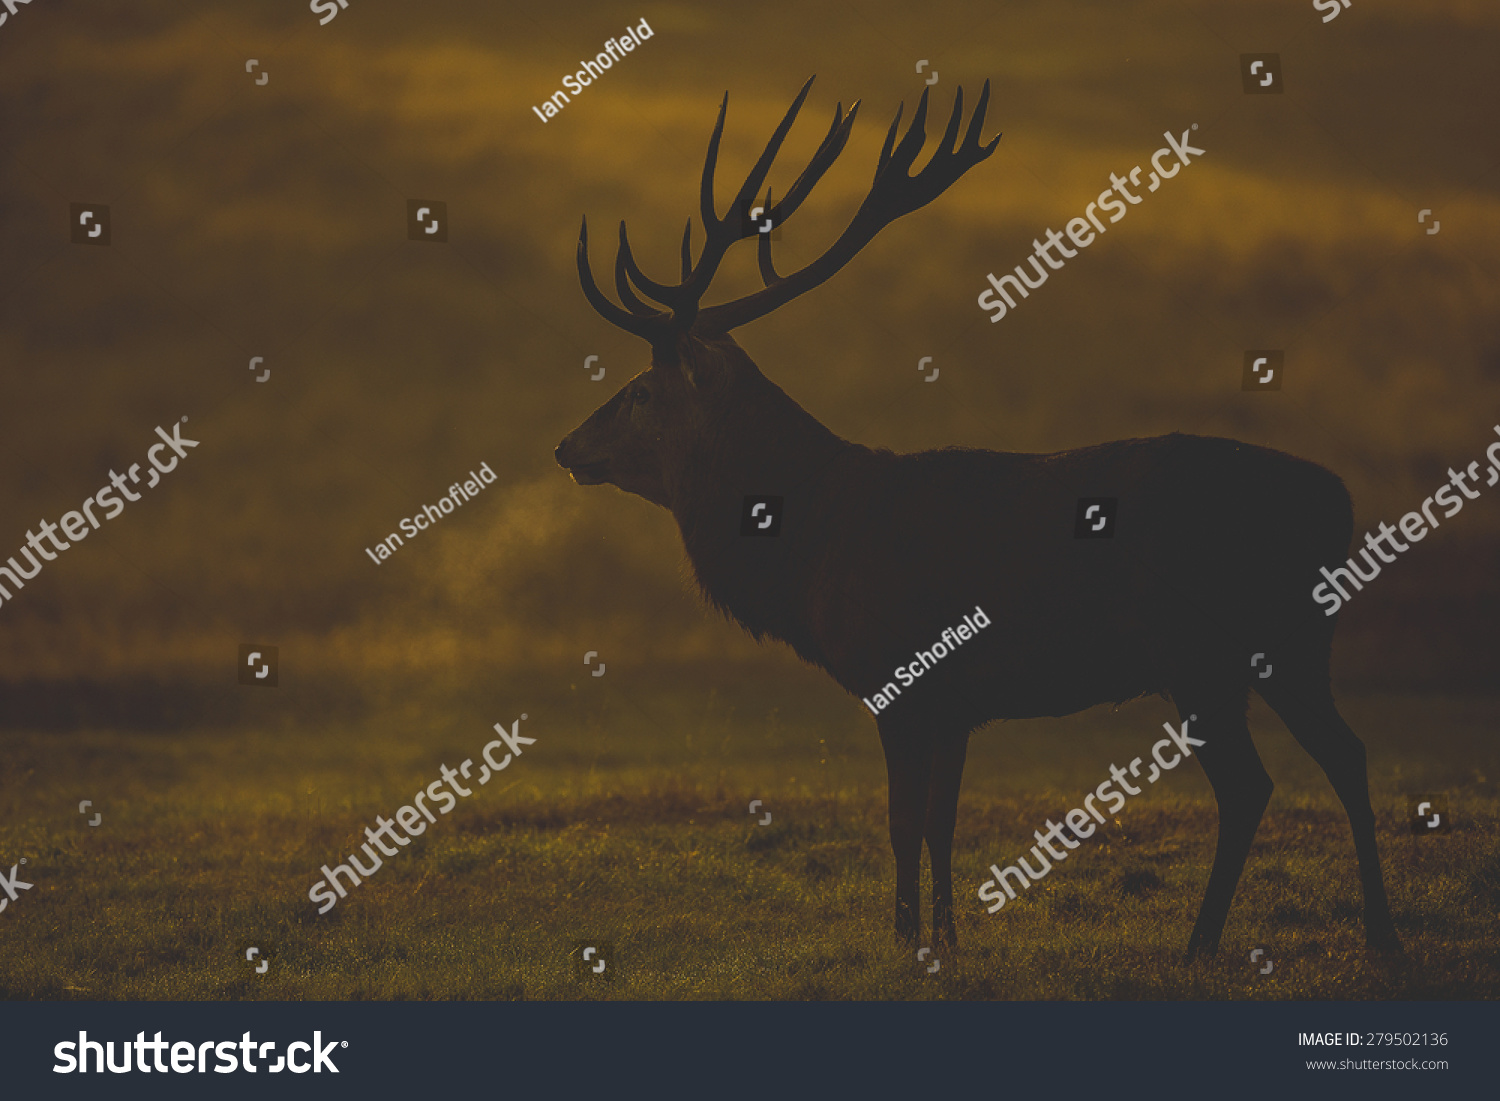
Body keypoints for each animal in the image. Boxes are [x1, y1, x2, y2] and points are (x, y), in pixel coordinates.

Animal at [554, 76, 1402, 960]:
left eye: (641, 392)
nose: (567, 445)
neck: (810, 541)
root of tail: (1338, 501)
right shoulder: (956, 702)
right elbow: (940, 824)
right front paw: (950, 937)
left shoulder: (901, 675)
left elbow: (902, 822)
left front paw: (904, 939)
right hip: (1290, 646)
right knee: (1345, 754)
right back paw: (1377, 932)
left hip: (1201, 650)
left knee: (1250, 783)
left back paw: (1204, 941)